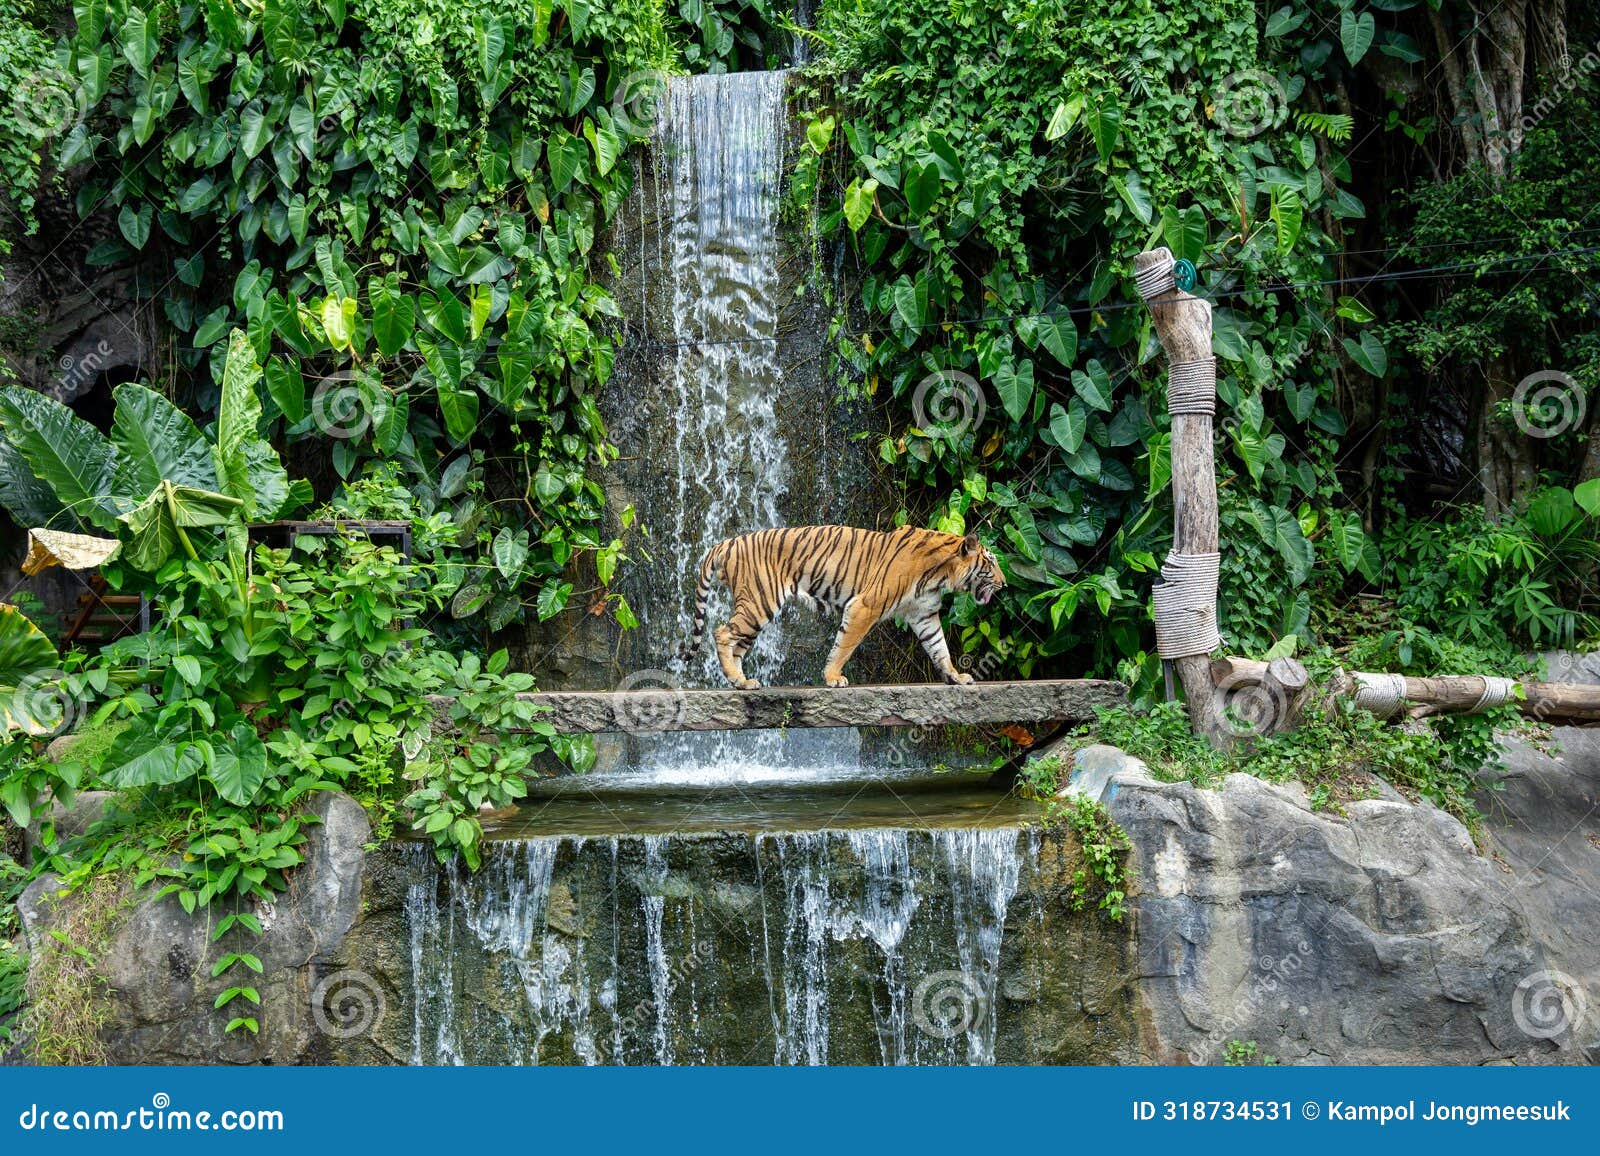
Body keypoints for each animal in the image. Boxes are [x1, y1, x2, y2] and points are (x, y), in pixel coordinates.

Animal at [681, 525, 1006, 689]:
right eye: (990, 564)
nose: (1004, 584)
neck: (940, 574)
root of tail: (726, 542)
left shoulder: (923, 614)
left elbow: (940, 648)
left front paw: (955, 677)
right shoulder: (865, 606)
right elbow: (845, 645)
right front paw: (833, 678)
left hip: (755, 609)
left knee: (736, 643)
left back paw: (742, 682)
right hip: (759, 602)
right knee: (721, 633)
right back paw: (737, 679)